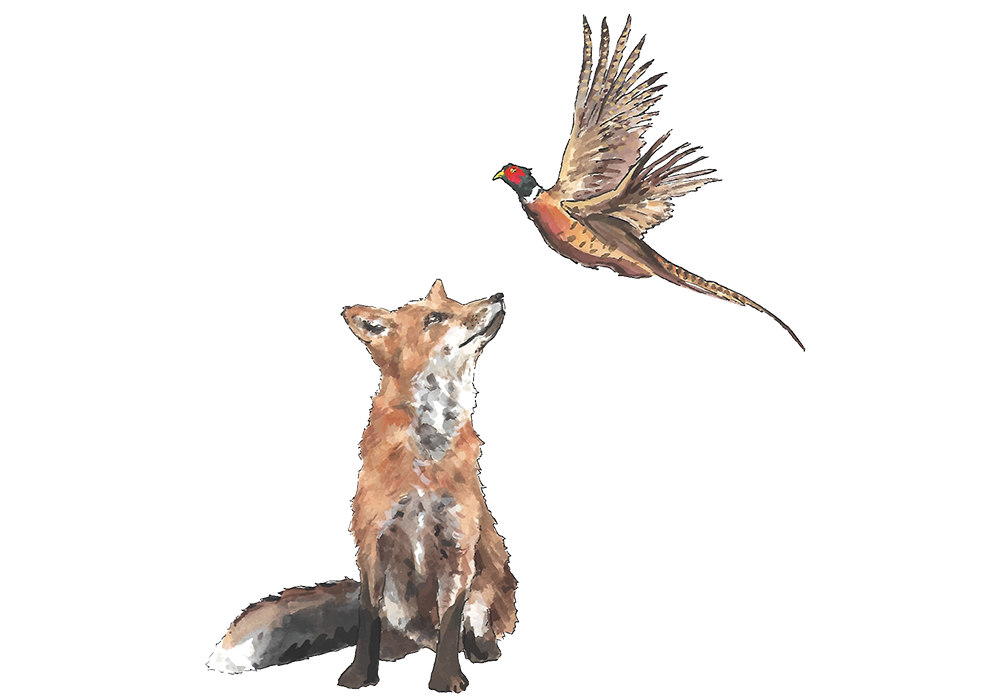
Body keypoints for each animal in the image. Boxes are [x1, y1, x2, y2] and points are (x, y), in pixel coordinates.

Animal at [206, 280, 518, 693]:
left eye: (456, 303)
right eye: (437, 317)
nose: (498, 296)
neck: (425, 459)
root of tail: (423, 637)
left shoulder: (458, 545)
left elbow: (453, 619)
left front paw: (447, 678)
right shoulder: (374, 541)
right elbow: (367, 619)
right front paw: (358, 675)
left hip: (489, 579)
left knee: (469, 625)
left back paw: (481, 650)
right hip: (399, 596)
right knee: (398, 632)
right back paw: (392, 650)